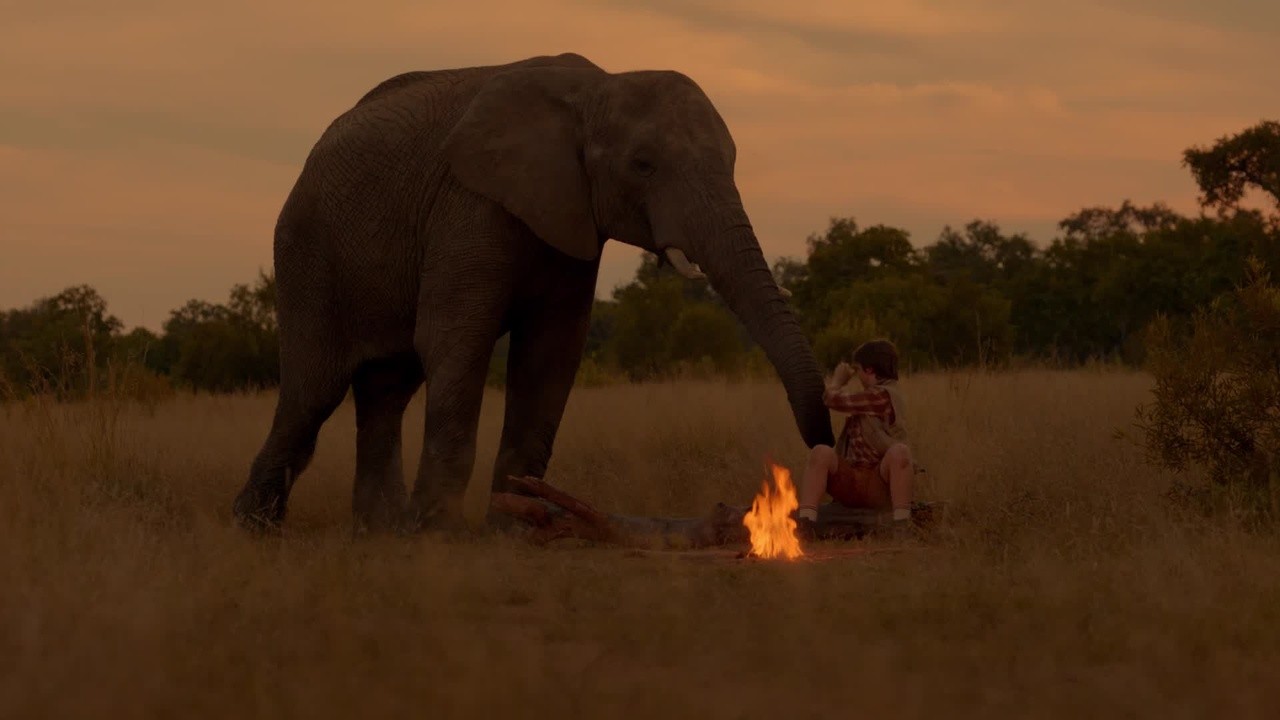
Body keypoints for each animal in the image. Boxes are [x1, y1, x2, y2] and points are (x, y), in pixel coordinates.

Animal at [230, 52, 835, 535]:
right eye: (642, 165)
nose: (823, 448)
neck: (596, 89)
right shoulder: (468, 205)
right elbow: (456, 342)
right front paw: (437, 532)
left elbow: (550, 355)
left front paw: (512, 527)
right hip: (308, 253)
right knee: (312, 392)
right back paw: (256, 528)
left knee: (387, 390)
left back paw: (376, 530)